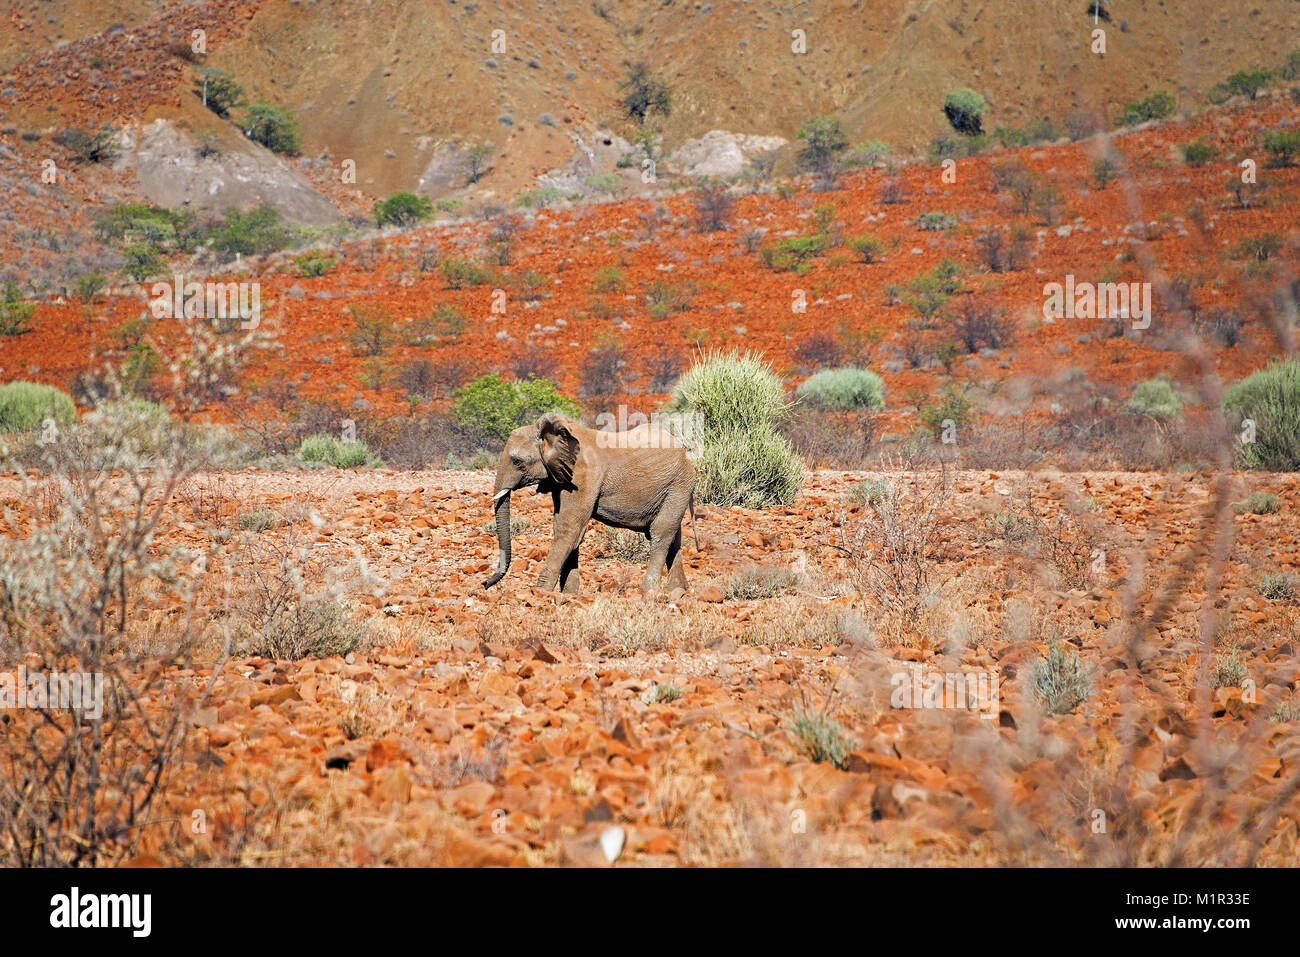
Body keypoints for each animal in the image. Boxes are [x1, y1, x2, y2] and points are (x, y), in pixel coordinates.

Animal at [483, 411, 697, 595]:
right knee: (674, 536)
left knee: (661, 533)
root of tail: (686, 454)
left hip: (678, 484)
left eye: (517, 462)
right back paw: (678, 591)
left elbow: (570, 529)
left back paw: (648, 592)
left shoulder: (583, 476)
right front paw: (568, 594)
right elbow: (565, 529)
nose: (485, 584)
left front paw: (540, 593)